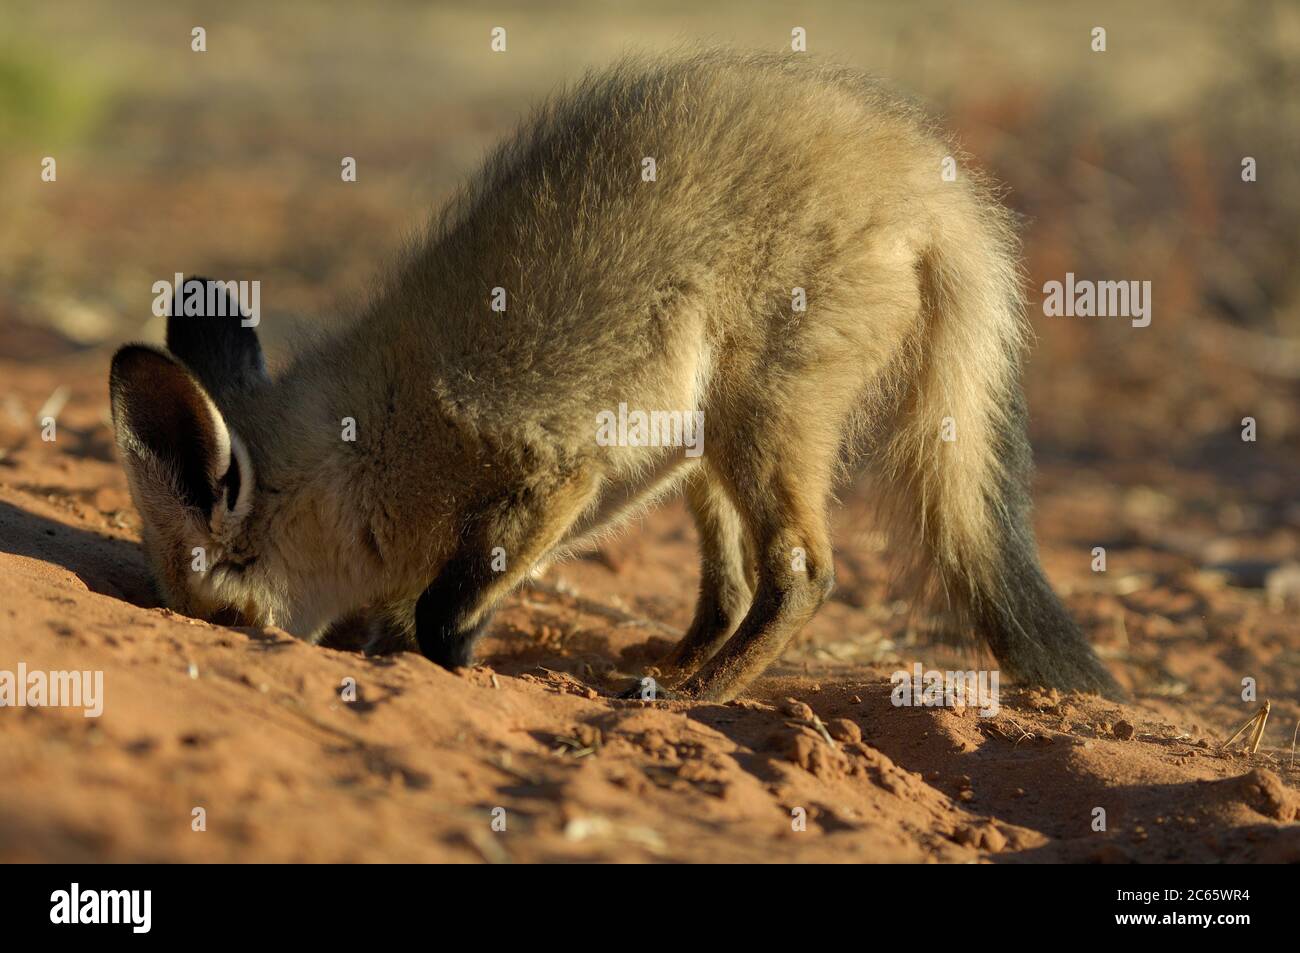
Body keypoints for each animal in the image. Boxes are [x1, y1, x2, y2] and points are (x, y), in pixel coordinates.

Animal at [109, 49, 1121, 703]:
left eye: (217, 613)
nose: (217, 635)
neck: (372, 443)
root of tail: (934, 182)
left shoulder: (553, 472)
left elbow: (445, 610)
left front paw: (443, 670)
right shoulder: (591, 480)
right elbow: (431, 601)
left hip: (758, 415)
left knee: (802, 571)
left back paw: (697, 698)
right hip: (710, 445)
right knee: (735, 588)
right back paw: (675, 667)